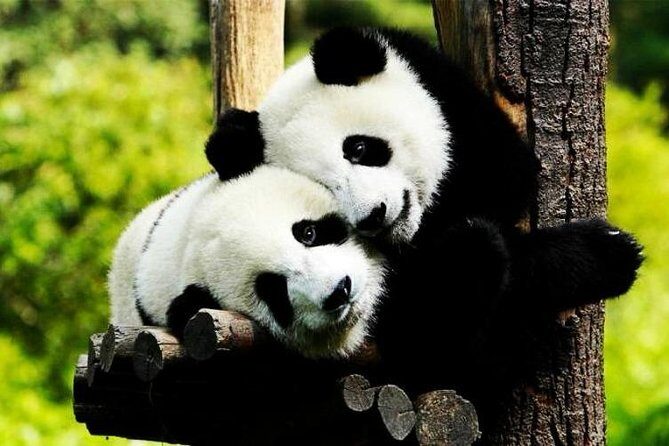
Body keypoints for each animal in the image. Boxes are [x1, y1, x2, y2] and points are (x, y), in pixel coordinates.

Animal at [203, 29, 643, 398]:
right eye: (325, 189)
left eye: (358, 148)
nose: (374, 216)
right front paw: (606, 255)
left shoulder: (453, 104)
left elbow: (509, 180)